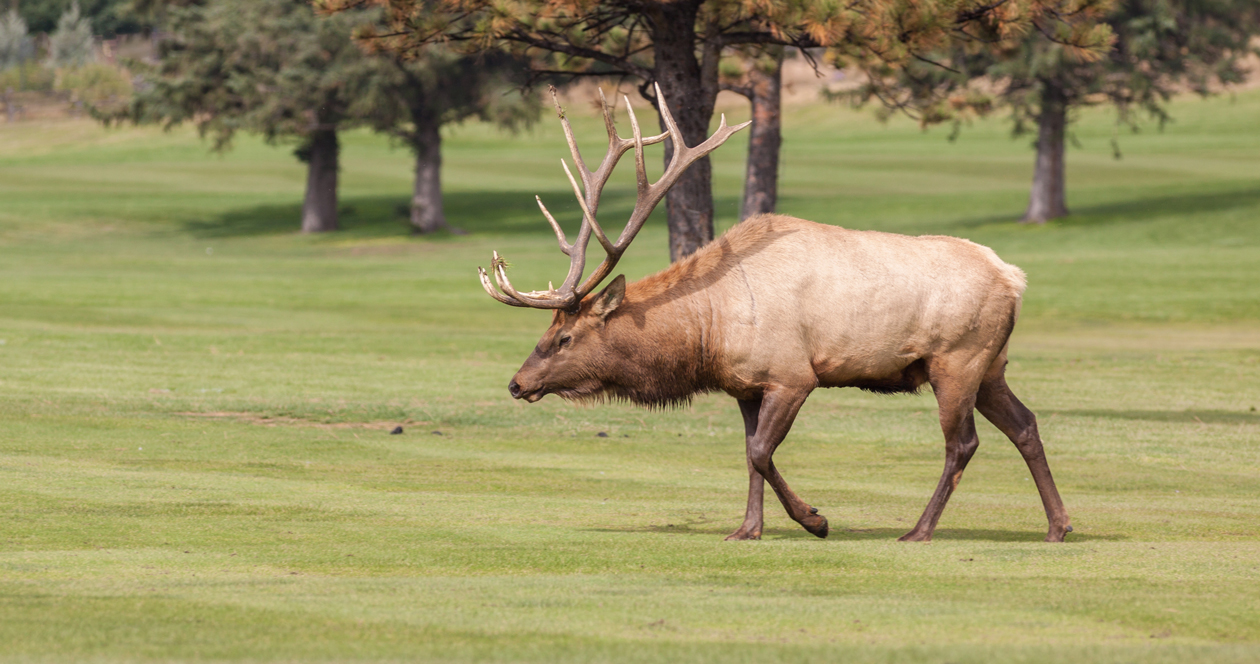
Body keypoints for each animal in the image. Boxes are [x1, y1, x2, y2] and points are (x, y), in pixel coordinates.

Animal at [479, 85, 1073, 543]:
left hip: (956, 358)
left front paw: (815, 520)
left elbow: (763, 452)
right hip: (991, 364)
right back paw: (1058, 525)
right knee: (1025, 424)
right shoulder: (746, 384)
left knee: (962, 442)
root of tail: (1013, 277)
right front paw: (748, 528)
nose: (516, 383)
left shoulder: (792, 374)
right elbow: (749, 453)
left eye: (564, 337)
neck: (710, 330)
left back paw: (920, 530)